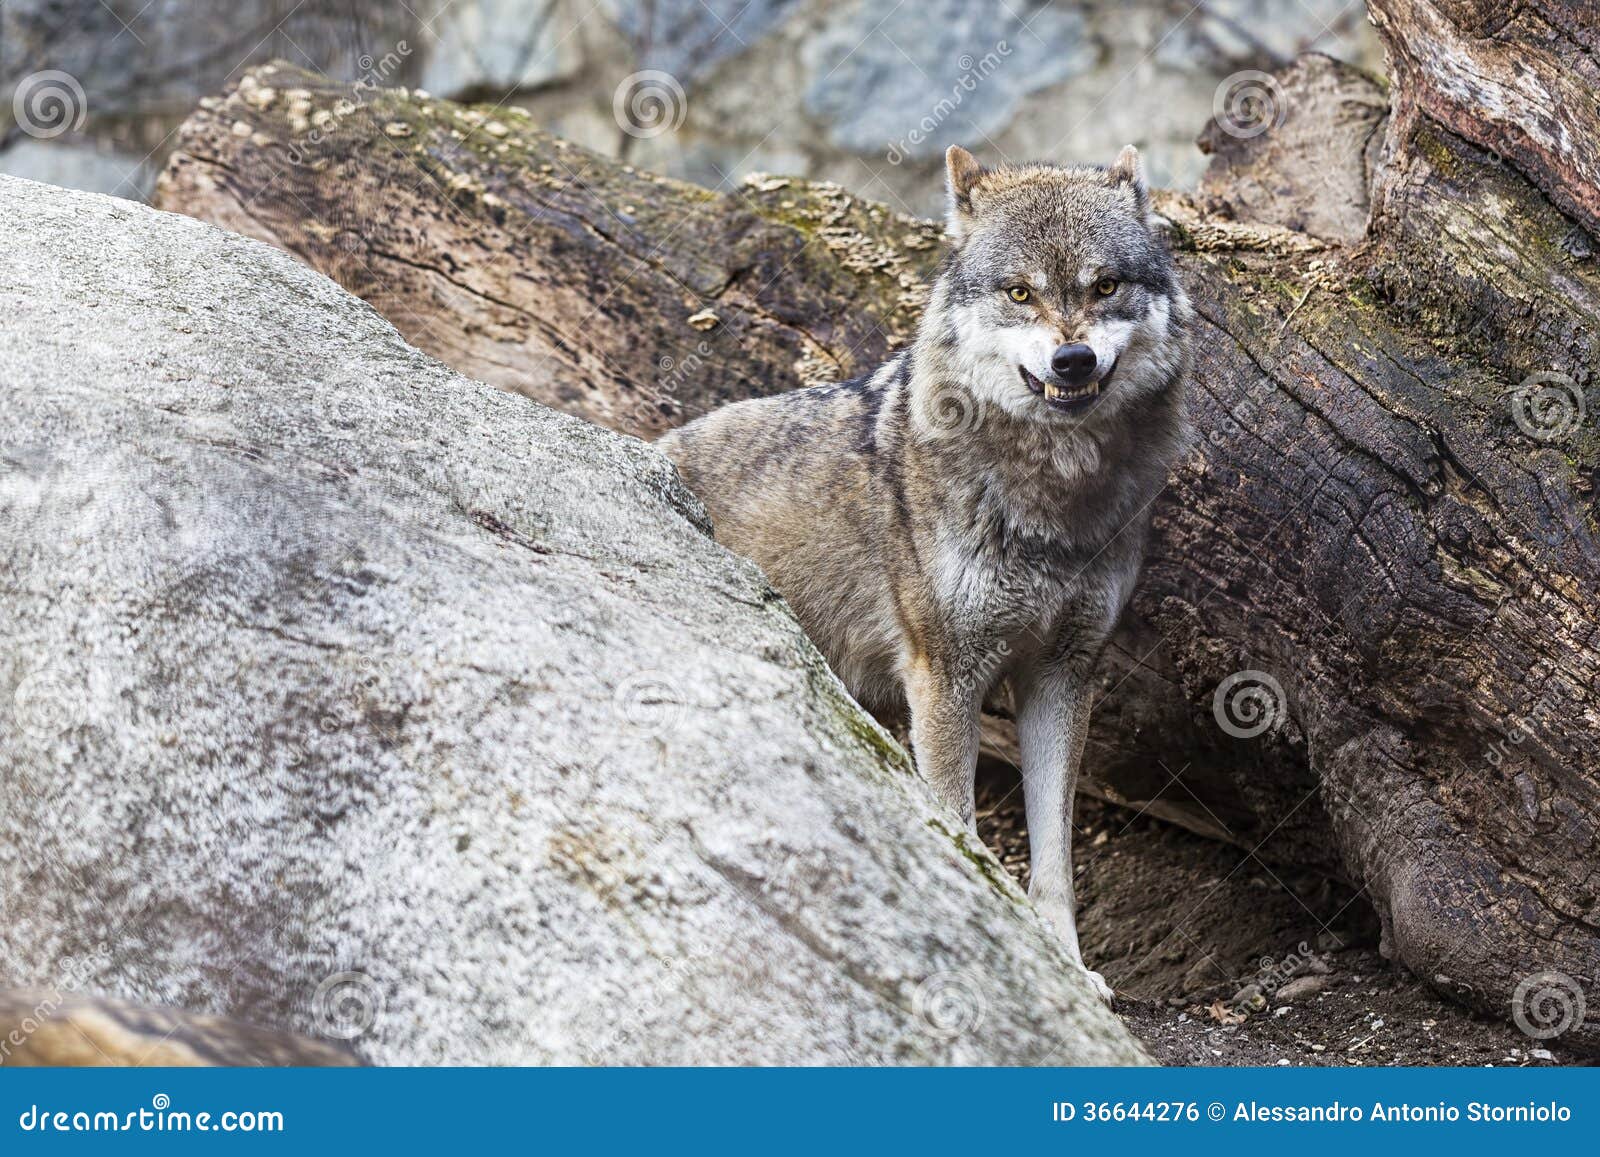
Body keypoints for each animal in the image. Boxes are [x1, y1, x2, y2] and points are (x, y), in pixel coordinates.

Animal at [658, 145, 1192, 1002]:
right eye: (1019, 292)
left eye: (1105, 285)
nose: (1072, 358)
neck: (1052, 500)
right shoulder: (944, 675)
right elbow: (961, 829)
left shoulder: (1063, 672)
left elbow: (1054, 859)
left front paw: (1069, 969)